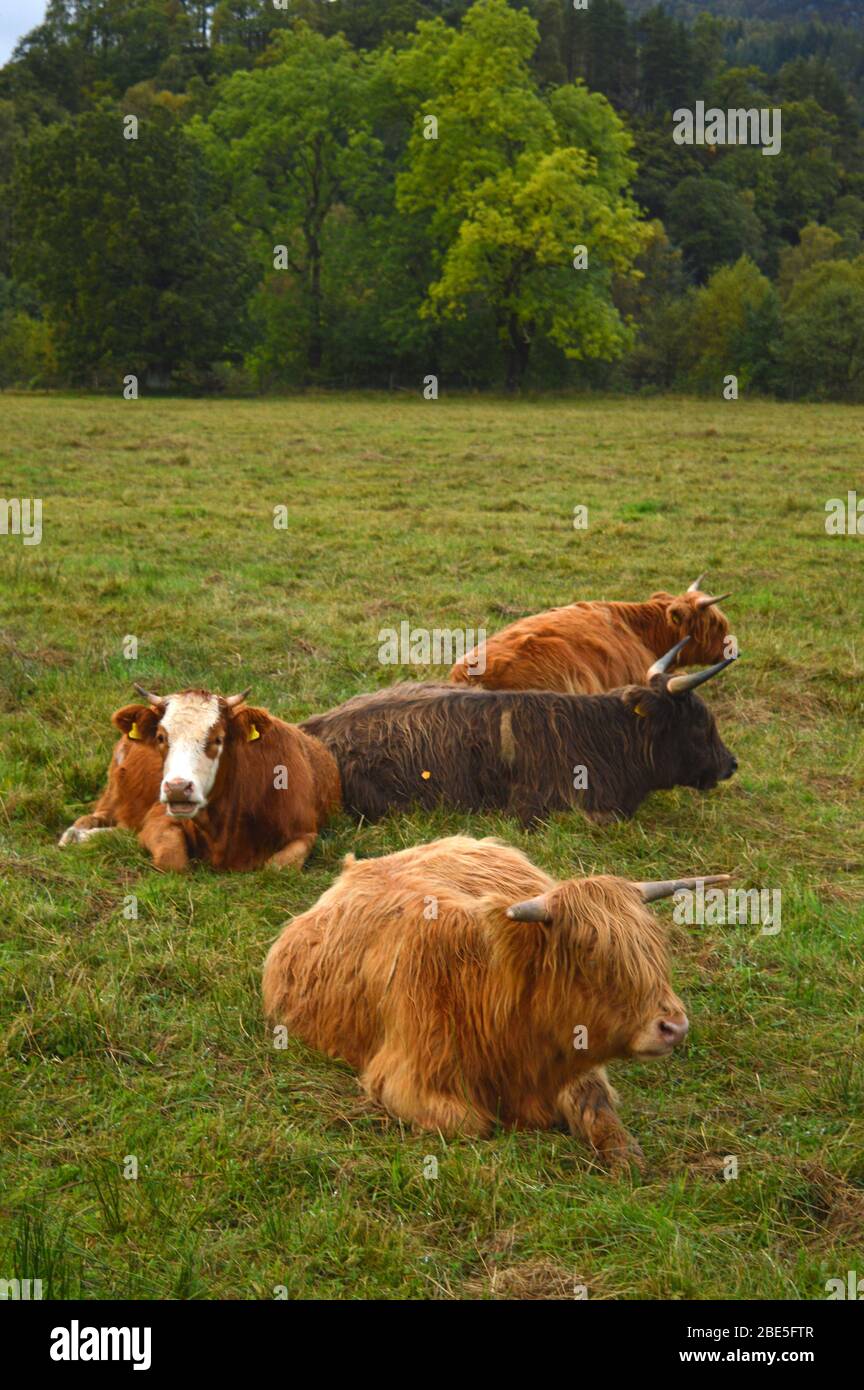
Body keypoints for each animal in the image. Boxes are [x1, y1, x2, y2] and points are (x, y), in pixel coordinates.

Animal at [59, 686, 341, 872]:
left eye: (218, 738)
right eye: (161, 737)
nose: (177, 788)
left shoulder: (306, 832)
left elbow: (276, 866)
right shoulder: (159, 817)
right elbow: (172, 857)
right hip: (113, 795)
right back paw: (78, 835)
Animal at [263, 834, 729, 1166]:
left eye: (652, 947)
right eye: (591, 956)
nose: (674, 1027)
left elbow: (599, 1110)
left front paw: (624, 1154)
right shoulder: (403, 1079)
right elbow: (473, 1125)